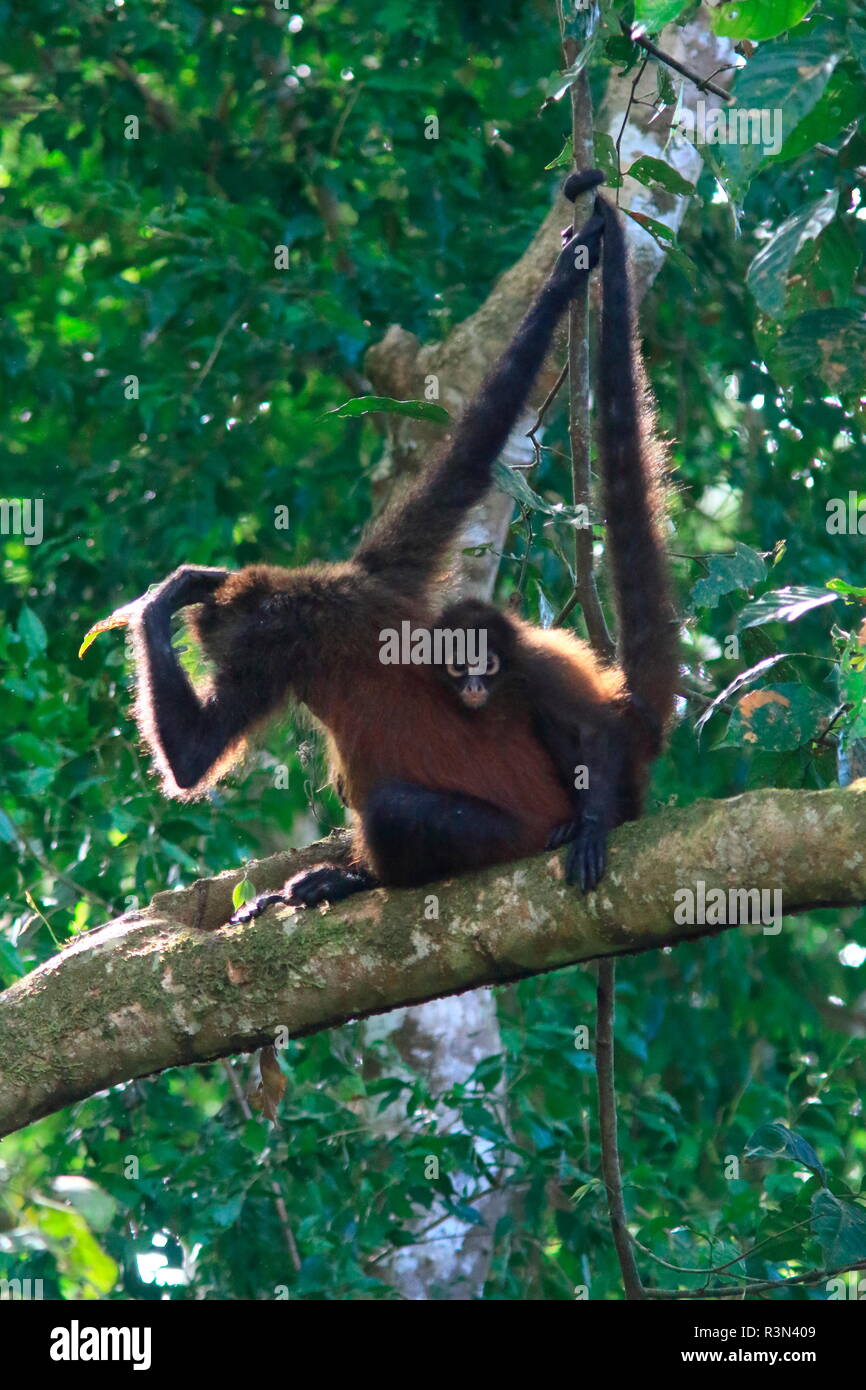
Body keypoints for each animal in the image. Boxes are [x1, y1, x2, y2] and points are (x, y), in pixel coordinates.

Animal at [83, 171, 613, 915]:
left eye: (221, 646)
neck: (311, 605)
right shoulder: (378, 568)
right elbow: (473, 450)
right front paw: (569, 271)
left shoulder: (271, 652)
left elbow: (191, 758)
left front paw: (164, 599)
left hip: (502, 831)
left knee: (392, 809)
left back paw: (359, 877)